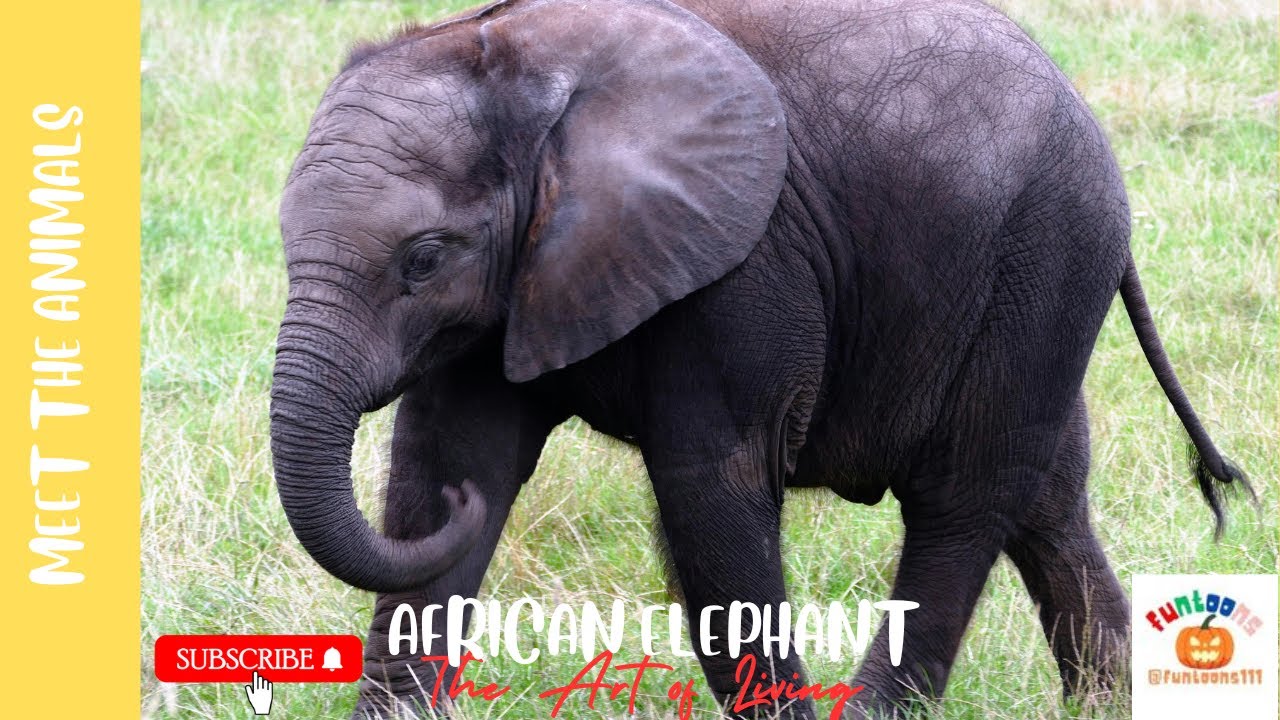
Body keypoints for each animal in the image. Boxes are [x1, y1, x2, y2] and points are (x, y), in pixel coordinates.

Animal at [268, 0, 1251, 717]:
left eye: (423, 258)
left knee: (964, 498)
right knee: (1046, 497)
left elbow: (712, 489)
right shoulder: (514, 283)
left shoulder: (747, 266)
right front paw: (457, 505)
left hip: (1043, 256)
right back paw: (1106, 705)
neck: (517, 68)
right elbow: (447, 459)